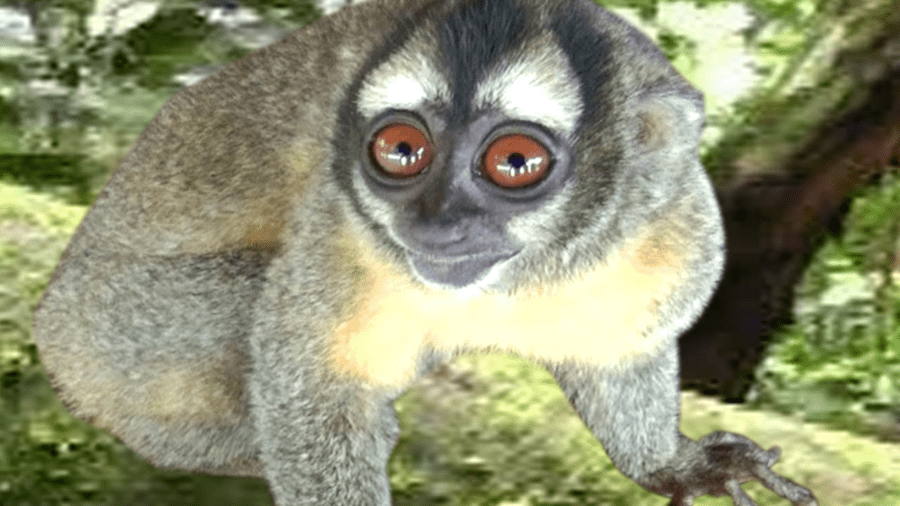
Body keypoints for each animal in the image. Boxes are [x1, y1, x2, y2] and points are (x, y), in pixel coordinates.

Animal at [31, 0, 819, 505]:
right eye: (401, 149)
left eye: (514, 161)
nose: (437, 220)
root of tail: (47, 321)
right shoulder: (335, 222)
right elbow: (309, 379)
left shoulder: (674, 229)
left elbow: (620, 353)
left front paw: (673, 466)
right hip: (104, 340)